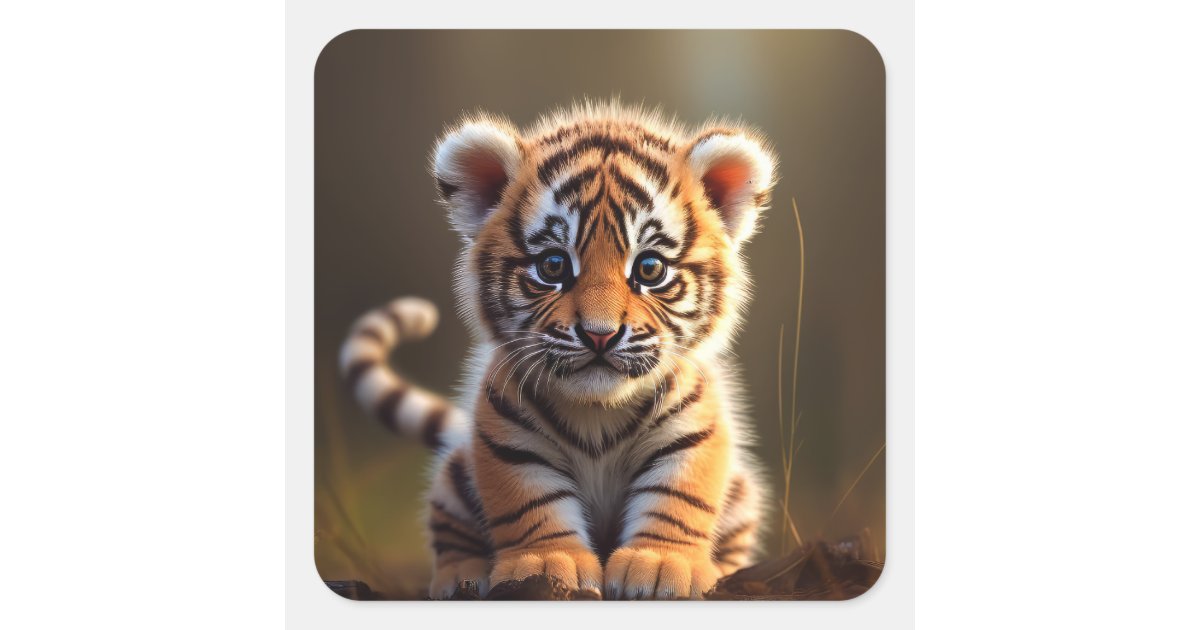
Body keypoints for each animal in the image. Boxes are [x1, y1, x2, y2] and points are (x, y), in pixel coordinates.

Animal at [339, 101, 778, 600]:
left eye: (650, 269)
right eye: (552, 266)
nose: (600, 335)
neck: (599, 411)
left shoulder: (693, 430)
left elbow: (679, 497)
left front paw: (662, 565)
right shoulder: (507, 436)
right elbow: (530, 504)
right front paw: (548, 567)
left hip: (743, 491)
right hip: (453, 476)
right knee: (450, 533)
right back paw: (461, 577)